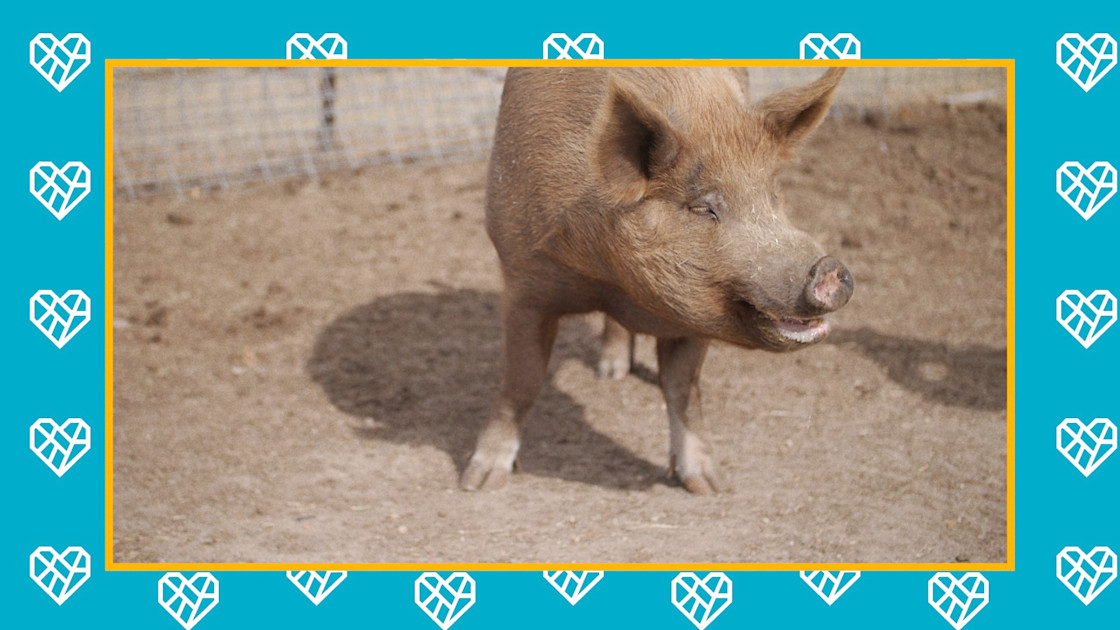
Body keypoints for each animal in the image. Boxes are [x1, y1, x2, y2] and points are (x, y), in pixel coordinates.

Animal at [460, 67, 853, 494]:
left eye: (773, 196)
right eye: (703, 208)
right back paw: (610, 374)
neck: (614, 281)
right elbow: (521, 382)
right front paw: (479, 481)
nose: (830, 268)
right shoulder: (523, 281)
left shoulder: (695, 317)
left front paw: (708, 485)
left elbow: (684, 391)